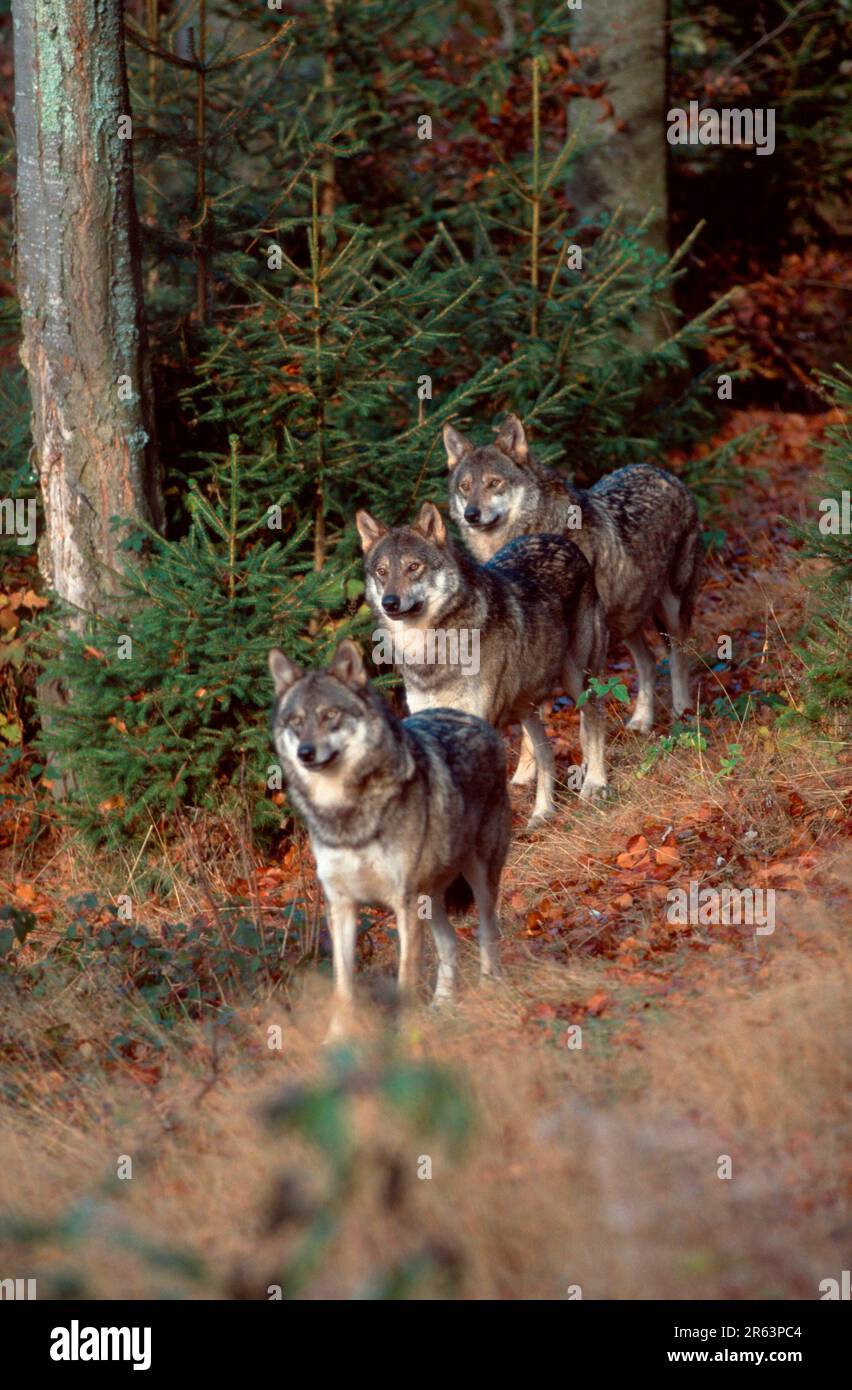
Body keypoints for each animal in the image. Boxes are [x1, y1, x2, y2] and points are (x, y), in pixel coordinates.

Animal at [268, 638, 511, 1041]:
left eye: (331, 715)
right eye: (296, 723)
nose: (305, 753)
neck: (347, 816)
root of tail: (471, 718)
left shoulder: (404, 904)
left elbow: (405, 981)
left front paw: (403, 1037)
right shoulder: (342, 905)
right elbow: (343, 987)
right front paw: (337, 1039)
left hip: (478, 877)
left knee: (487, 931)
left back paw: (490, 989)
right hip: (431, 900)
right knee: (449, 943)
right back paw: (443, 1006)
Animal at [356, 501, 609, 828]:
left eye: (414, 567)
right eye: (382, 572)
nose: (389, 602)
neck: (429, 653)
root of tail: (559, 539)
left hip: (579, 680)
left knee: (595, 719)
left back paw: (595, 785)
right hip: (527, 704)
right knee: (546, 753)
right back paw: (542, 813)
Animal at [445, 414, 702, 781]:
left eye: (494, 483)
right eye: (465, 487)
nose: (471, 514)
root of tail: (661, 471)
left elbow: (579, 719)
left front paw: (585, 772)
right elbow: (531, 728)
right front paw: (525, 775)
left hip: (667, 610)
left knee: (678, 657)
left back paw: (682, 712)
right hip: (623, 624)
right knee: (649, 661)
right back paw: (642, 720)